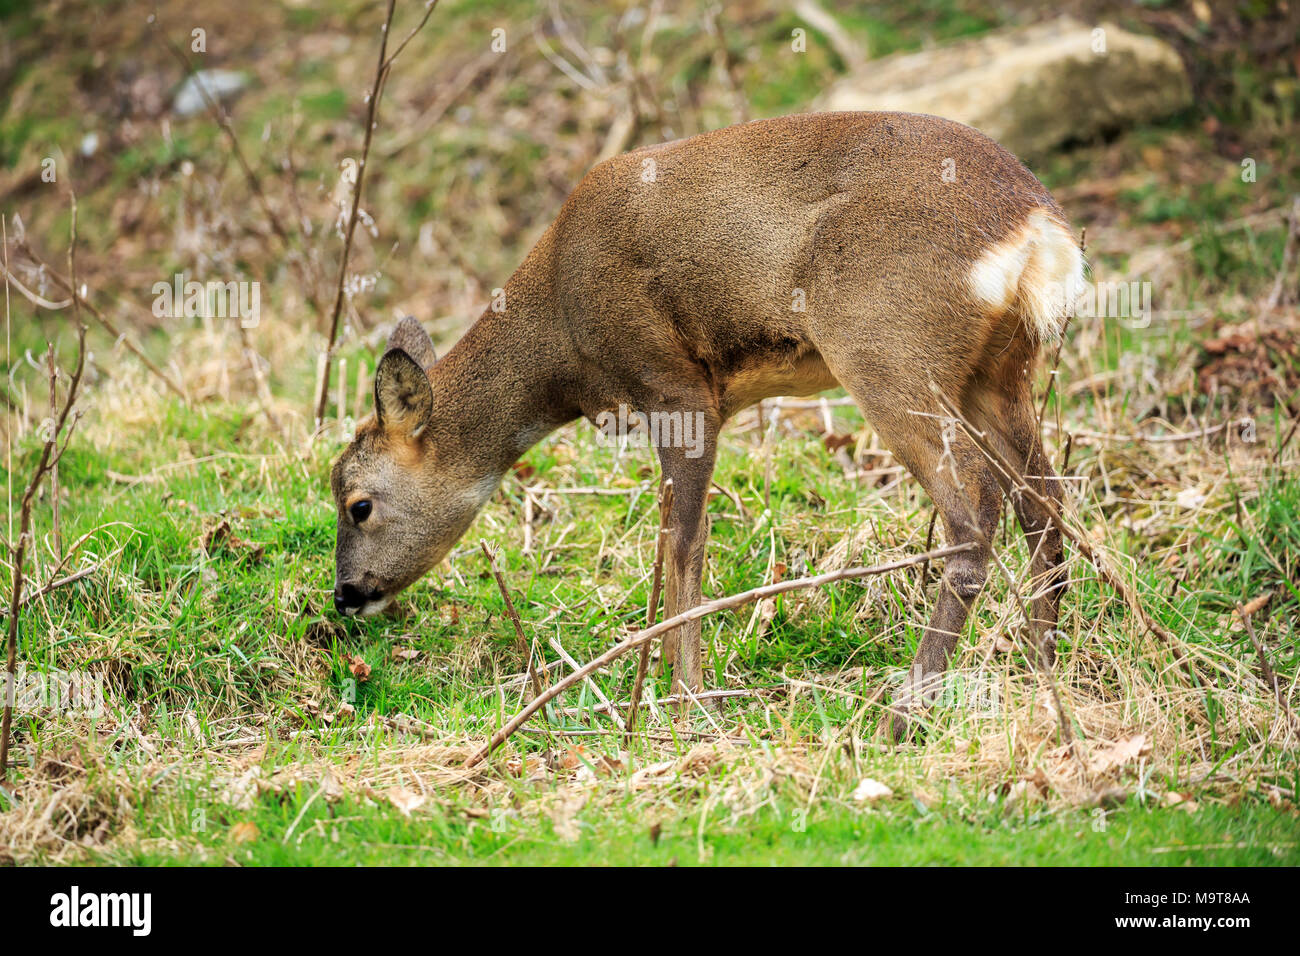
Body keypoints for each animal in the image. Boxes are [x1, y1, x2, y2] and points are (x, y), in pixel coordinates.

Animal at [330, 111, 1083, 739]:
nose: (345, 595)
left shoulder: (675, 388)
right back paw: (1042, 670)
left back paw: (902, 714)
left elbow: (683, 545)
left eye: (358, 503)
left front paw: (686, 699)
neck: (562, 343)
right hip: (997, 370)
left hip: (886, 346)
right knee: (1044, 500)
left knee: (976, 508)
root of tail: (1038, 226)